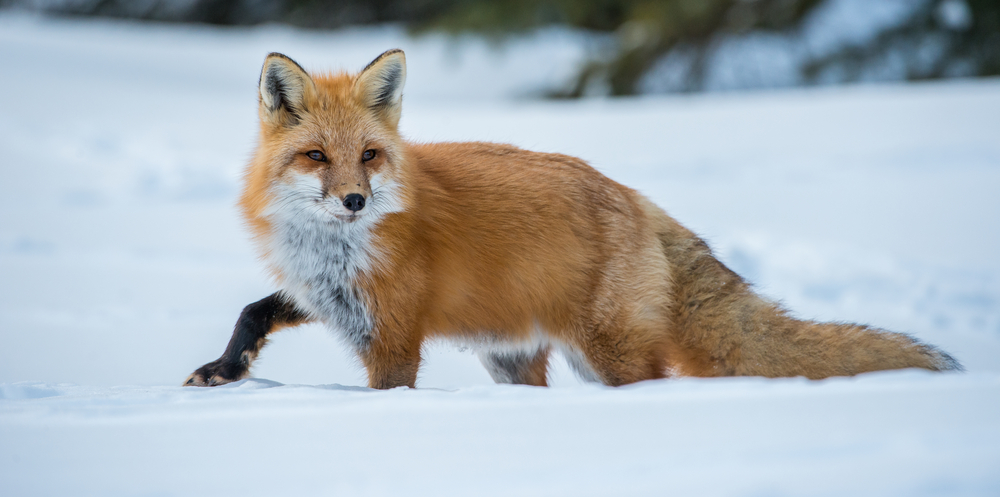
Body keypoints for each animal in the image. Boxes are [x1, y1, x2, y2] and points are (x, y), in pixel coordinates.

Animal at [184, 49, 961, 389]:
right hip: (518, 358)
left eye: (369, 156)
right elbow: (254, 310)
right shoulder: (326, 292)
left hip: (609, 354)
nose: (355, 201)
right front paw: (225, 369)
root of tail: (633, 195)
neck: (336, 246)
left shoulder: (394, 337)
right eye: (317, 156)